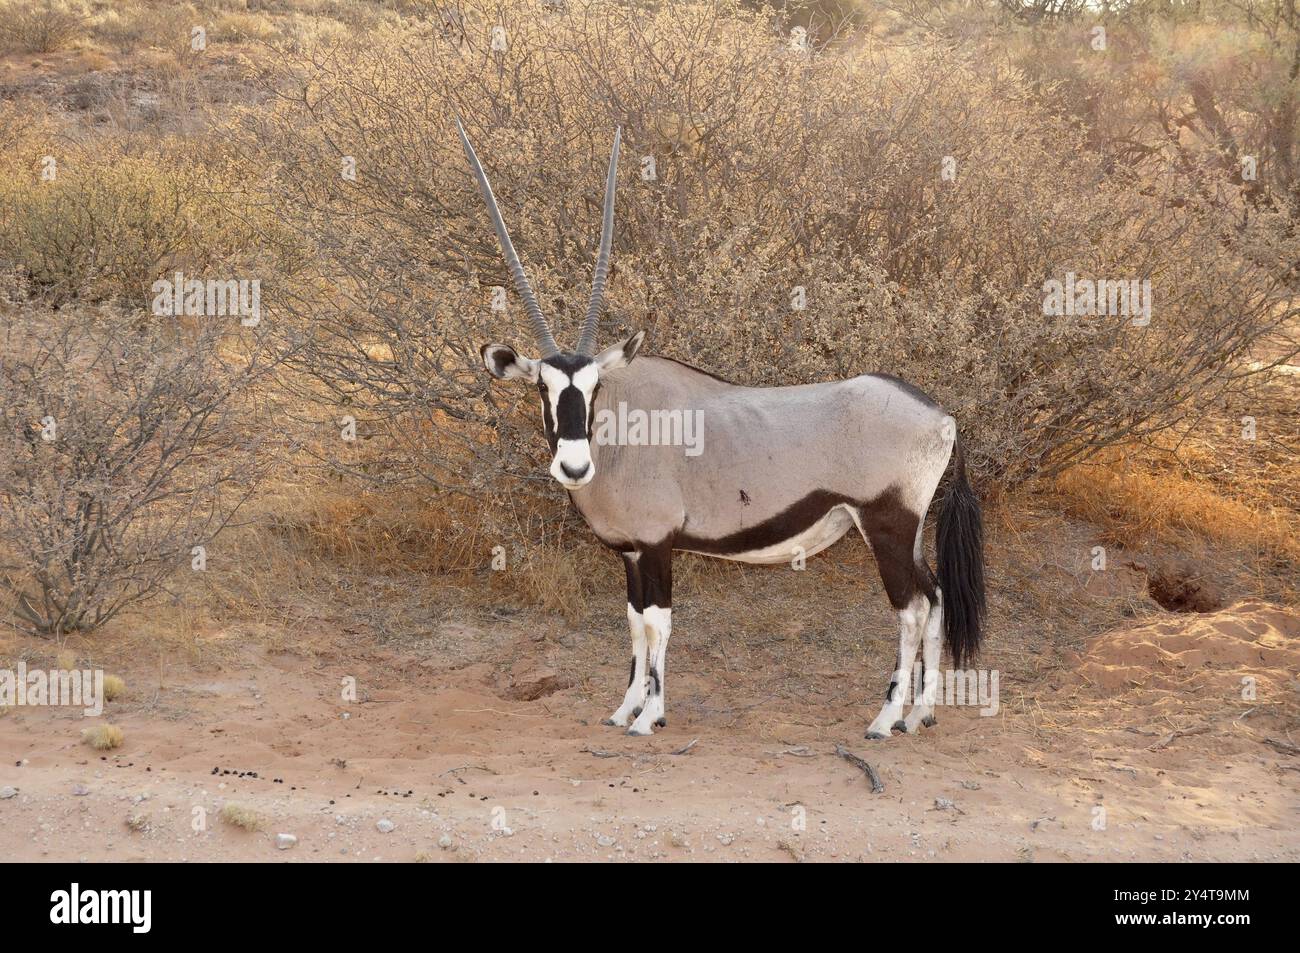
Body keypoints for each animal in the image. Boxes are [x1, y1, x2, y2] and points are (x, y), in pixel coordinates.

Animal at [457, 119, 986, 738]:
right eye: (544, 388)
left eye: (593, 389)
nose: (573, 465)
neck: (622, 434)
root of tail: (941, 415)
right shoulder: (631, 553)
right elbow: (634, 621)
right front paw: (624, 708)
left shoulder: (657, 543)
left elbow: (658, 622)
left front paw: (650, 716)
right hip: (911, 530)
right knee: (937, 596)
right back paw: (922, 712)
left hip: (886, 524)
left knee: (913, 608)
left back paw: (885, 718)